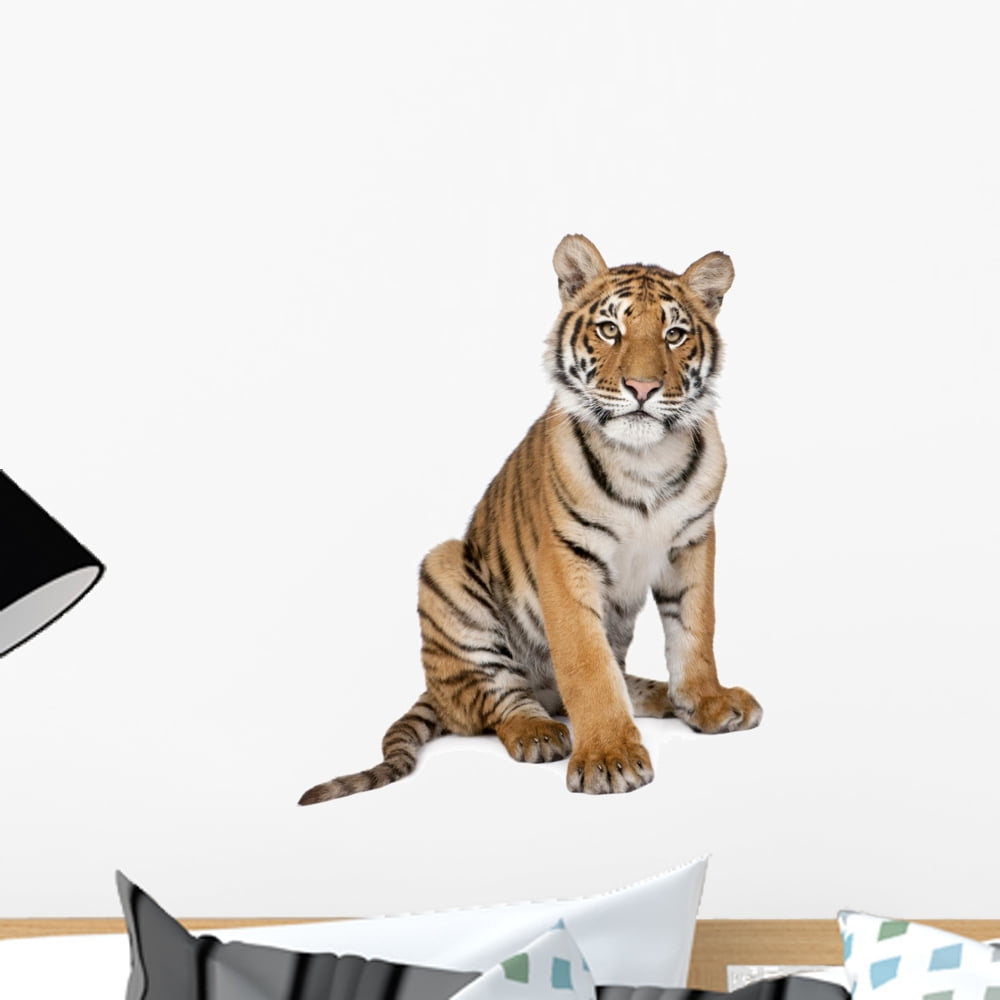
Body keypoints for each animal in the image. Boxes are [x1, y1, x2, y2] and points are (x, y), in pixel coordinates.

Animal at [298, 234, 761, 802]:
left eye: (674, 334)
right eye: (610, 329)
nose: (642, 388)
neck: (645, 459)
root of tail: (433, 690)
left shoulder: (692, 543)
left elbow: (696, 631)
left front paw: (707, 702)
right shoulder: (566, 557)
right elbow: (586, 664)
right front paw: (609, 757)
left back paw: (657, 695)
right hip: (445, 570)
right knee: (497, 701)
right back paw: (538, 731)